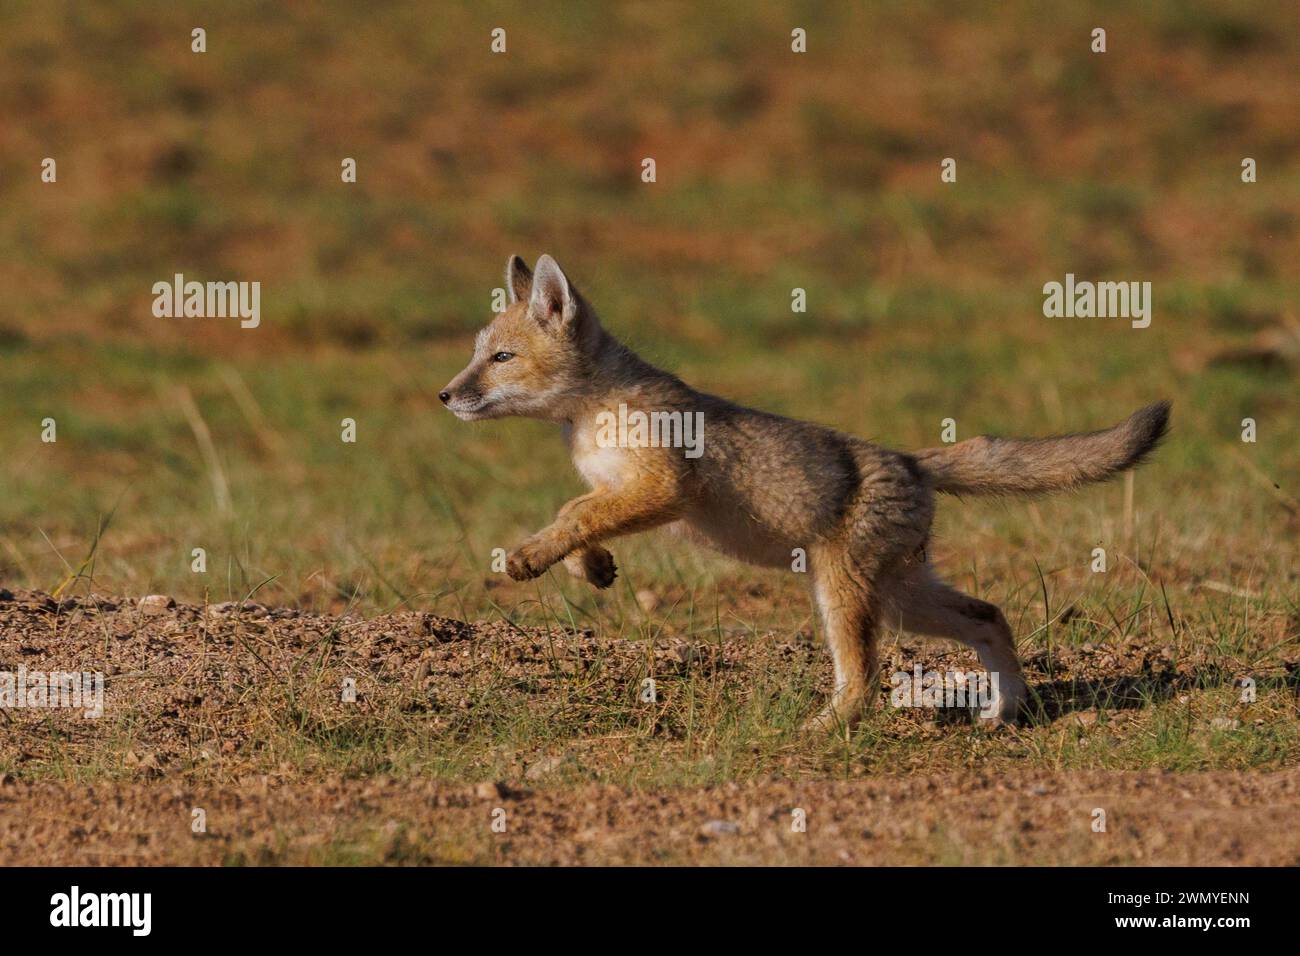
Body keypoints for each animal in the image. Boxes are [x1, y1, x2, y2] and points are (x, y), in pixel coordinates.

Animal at [440, 254, 1170, 729]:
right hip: (901, 597)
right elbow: (584, 518)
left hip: (847, 596)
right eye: (478, 353)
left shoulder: (662, 488)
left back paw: (826, 727)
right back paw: (1003, 711)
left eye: (500, 359)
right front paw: (589, 567)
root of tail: (911, 461)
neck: (591, 419)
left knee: (866, 678)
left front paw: (531, 557)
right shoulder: (617, 490)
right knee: (990, 615)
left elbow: (574, 510)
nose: (444, 396)